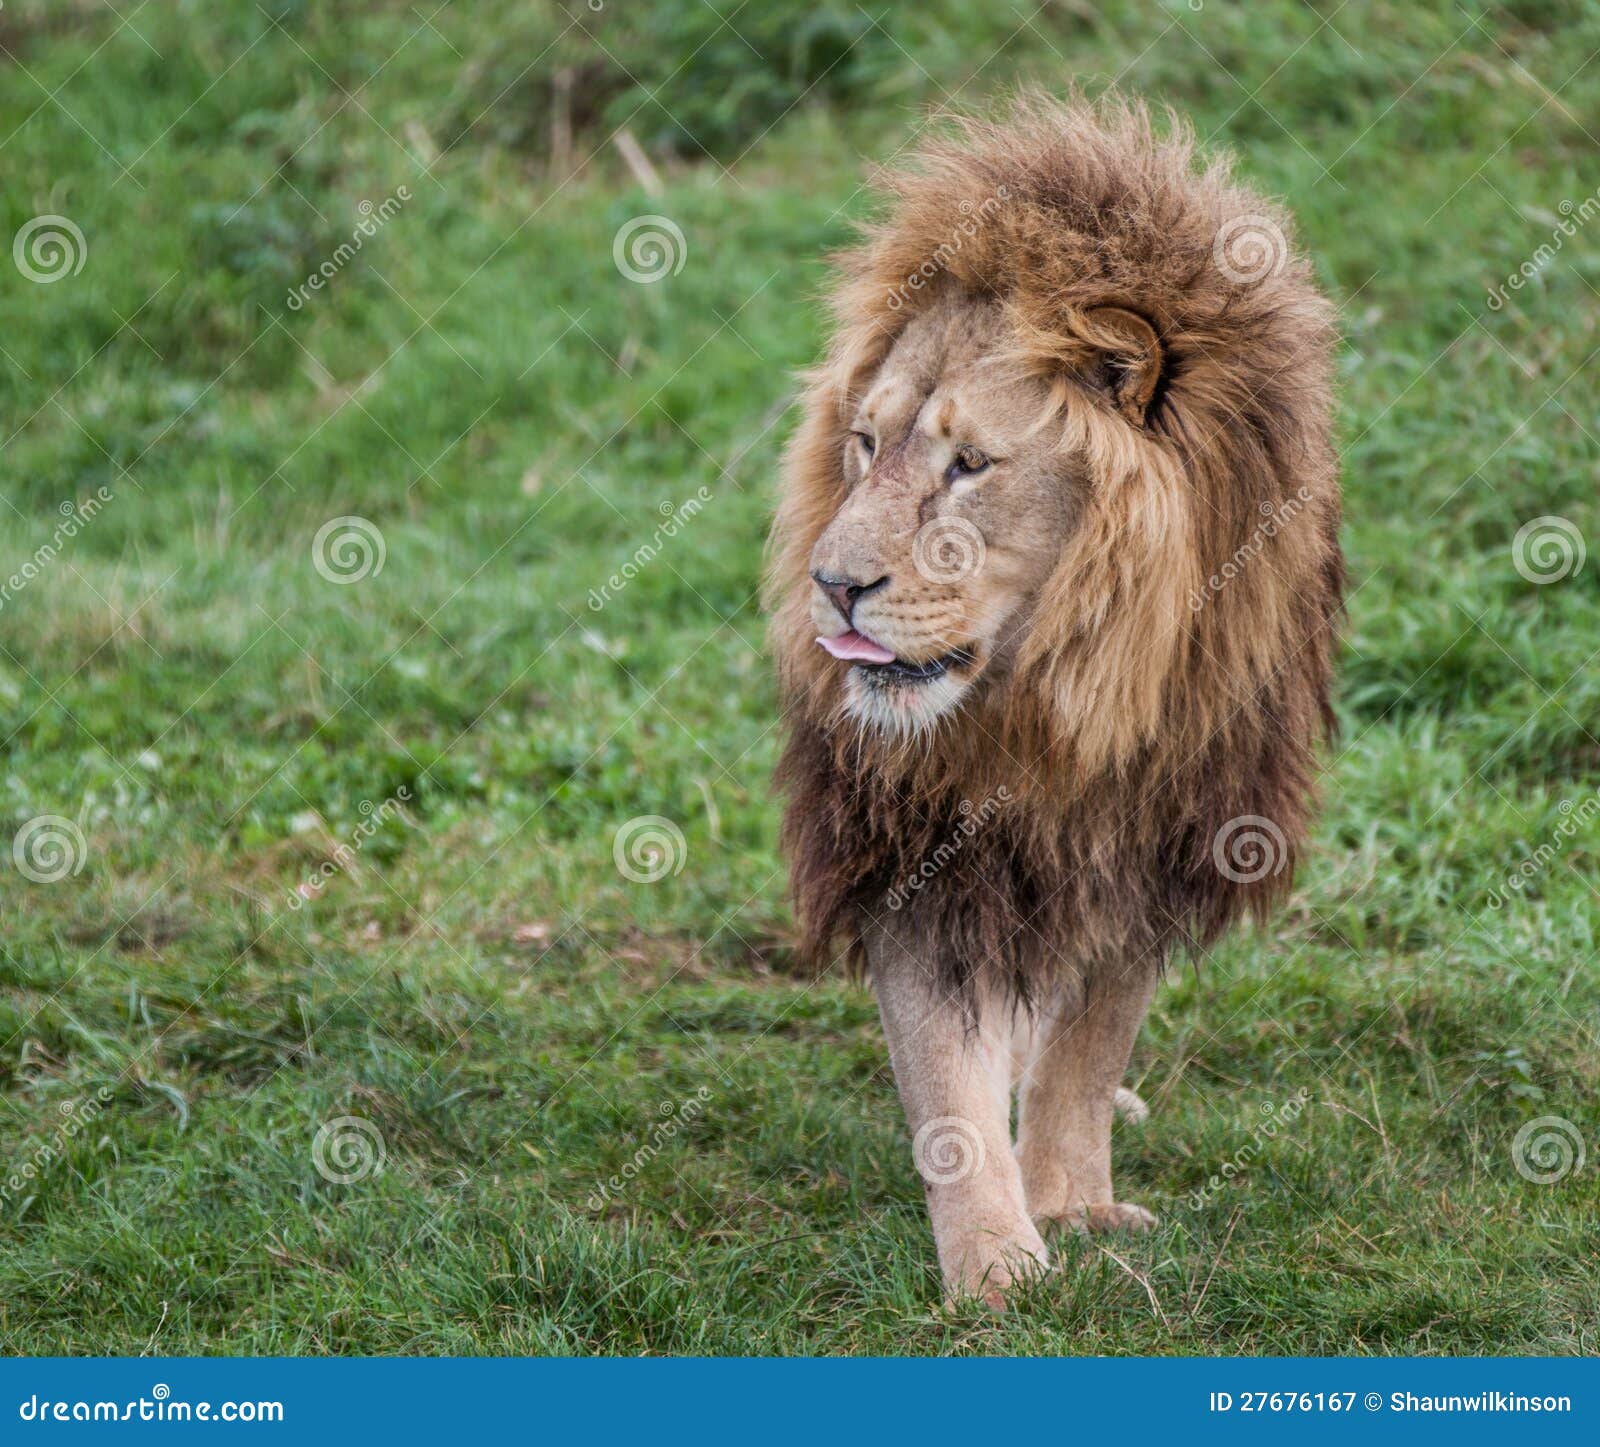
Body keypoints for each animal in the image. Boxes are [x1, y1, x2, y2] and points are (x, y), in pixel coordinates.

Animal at [765, 96, 1343, 1308]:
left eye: (970, 464)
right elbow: (948, 1088)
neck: (1052, 695)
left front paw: (1072, 1201)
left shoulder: (1165, 831)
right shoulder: (919, 855)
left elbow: (1089, 1043)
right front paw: (994, 1265)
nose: (831, 584)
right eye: (864, 443)